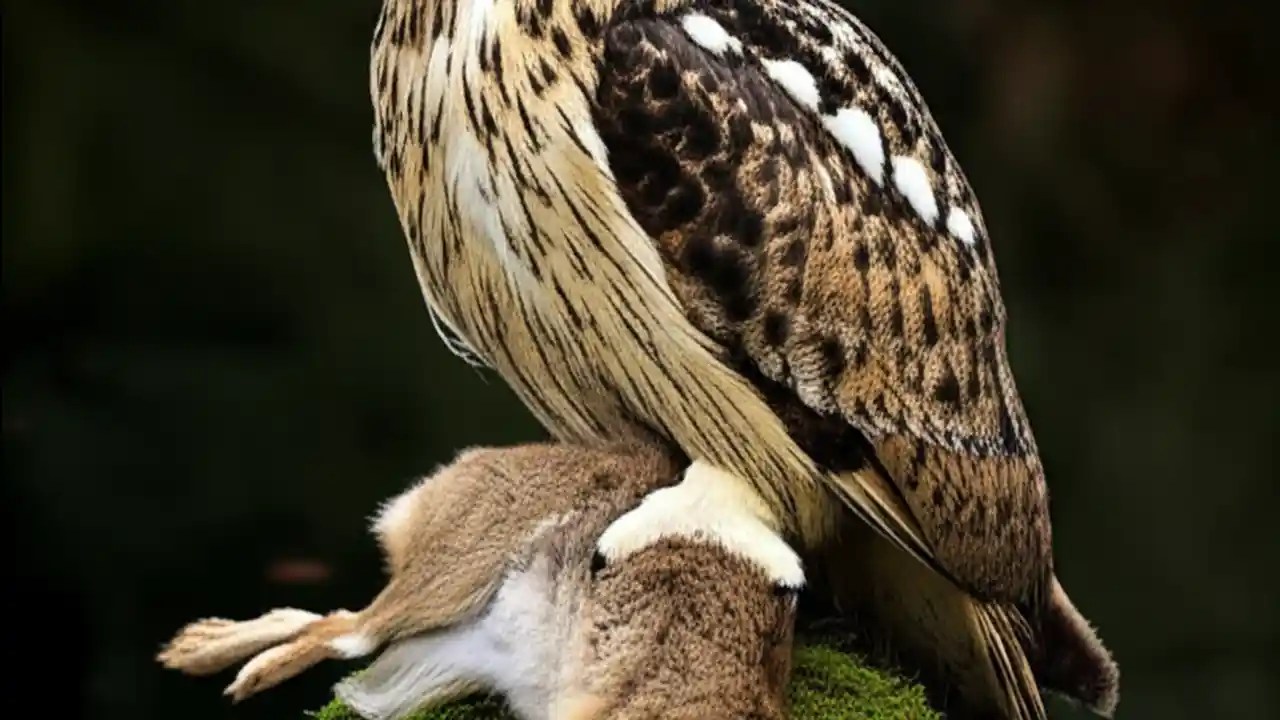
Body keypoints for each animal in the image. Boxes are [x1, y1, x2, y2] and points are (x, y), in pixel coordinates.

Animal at [157, 442, 804, 720]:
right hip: (454, 576)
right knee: (348, 628)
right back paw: (222, 666)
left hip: (456, 648)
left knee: (334, 625)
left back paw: (197, 652)